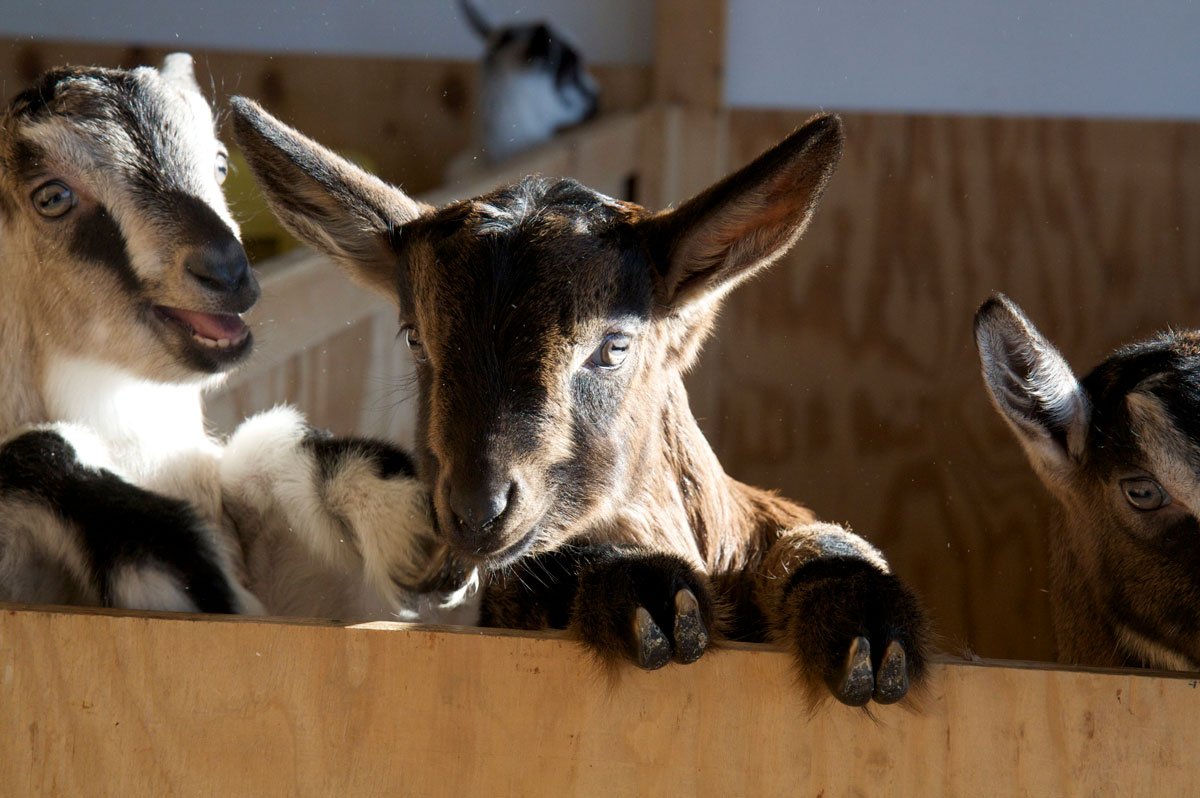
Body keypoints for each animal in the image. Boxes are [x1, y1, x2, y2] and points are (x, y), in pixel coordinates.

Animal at [0, 57, 469, 622]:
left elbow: (267, 453)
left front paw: (409, 527)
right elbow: (37, 445)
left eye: (220, 164)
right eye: (52, 197)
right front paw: (180, 568)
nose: (226, 270)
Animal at [234, 99, 931, 706]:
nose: (477, 510)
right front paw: (647, 594)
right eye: (414, 336)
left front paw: (866, 627)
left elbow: (822, 537)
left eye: (614, 346)